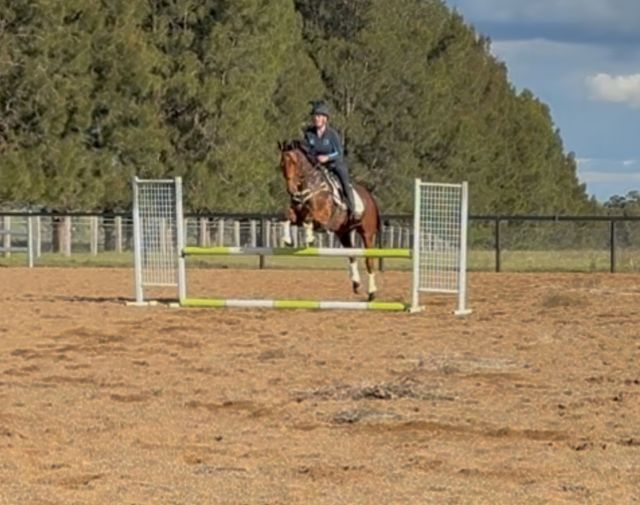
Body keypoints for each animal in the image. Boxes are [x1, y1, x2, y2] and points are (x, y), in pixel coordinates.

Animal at [278, 140, 382, 301]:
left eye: (294, 162)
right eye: (282, 164)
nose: (291, 190)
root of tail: (370, 196)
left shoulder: (323, 217)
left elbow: (309, 218)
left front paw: (309, 238)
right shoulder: (297, 215)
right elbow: (287, 218)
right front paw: (288, 239)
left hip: (367, 233)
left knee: (369, 260)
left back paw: (371, 293)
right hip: (343, 233)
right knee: (352, 255)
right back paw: (356, 283)